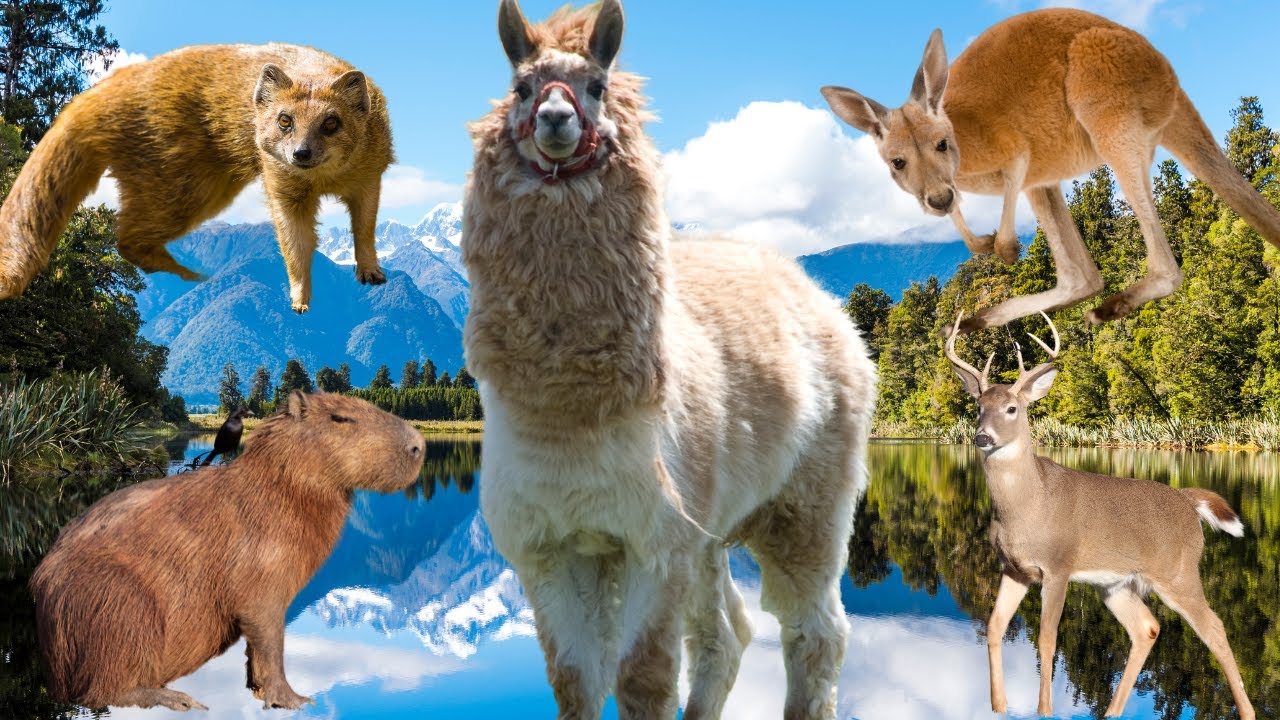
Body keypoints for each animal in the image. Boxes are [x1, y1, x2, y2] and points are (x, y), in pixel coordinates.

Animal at [822, 8, 1280, 334]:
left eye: (941, 145)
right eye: (898, 162)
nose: (937, 199)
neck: (960, 138)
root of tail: (1172, 80)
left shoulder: (1014, 150)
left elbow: (1006, 188)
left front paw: (1004, 248)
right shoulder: (961, 182)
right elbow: (960, 216)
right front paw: (981, 242)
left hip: (1102, 93)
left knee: (1161, 270)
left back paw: (1107, 309)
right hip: (1058, 168)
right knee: (1082, 278)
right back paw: (977, 320)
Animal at [944, 311, 1254, 719]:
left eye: (1012, 408)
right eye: (978, 407)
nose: (982, 437)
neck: (1025, 509)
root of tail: (1188, 501)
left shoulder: (1058, 567)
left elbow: (1047, 640)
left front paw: (1044, 710)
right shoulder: (1013, 568)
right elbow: (994, 628)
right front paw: (999, 705)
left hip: (1179, 571)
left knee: (1215, 629)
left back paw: (1247, 710)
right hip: (1115, 584)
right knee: (1147, 627)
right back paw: (1111, 710)